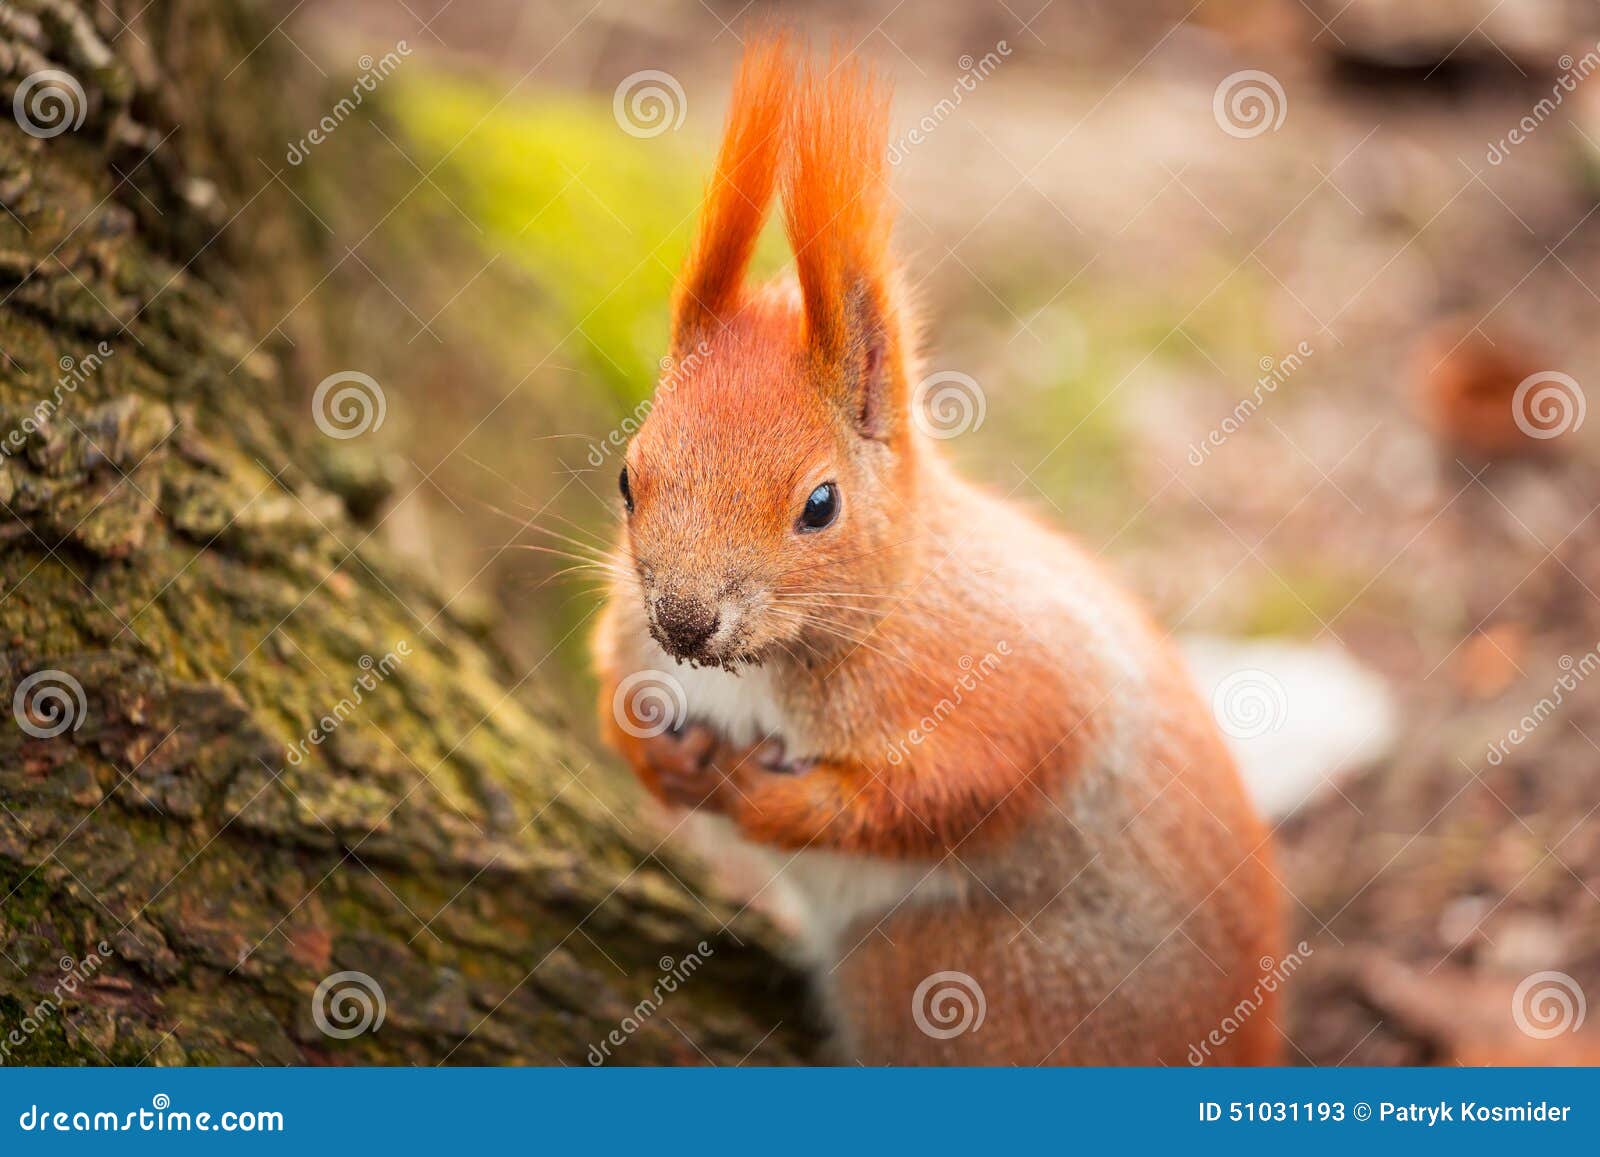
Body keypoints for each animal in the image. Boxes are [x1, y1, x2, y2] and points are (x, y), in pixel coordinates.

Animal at [592, 37, 1283, 1065]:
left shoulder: (1008, 679)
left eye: (821, 504)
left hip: (934, 969)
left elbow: (963, 781)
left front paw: (774, 805)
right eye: (627, 477)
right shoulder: (631, 636)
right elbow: (613, 682)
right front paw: (649, 758)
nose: (682, 620)